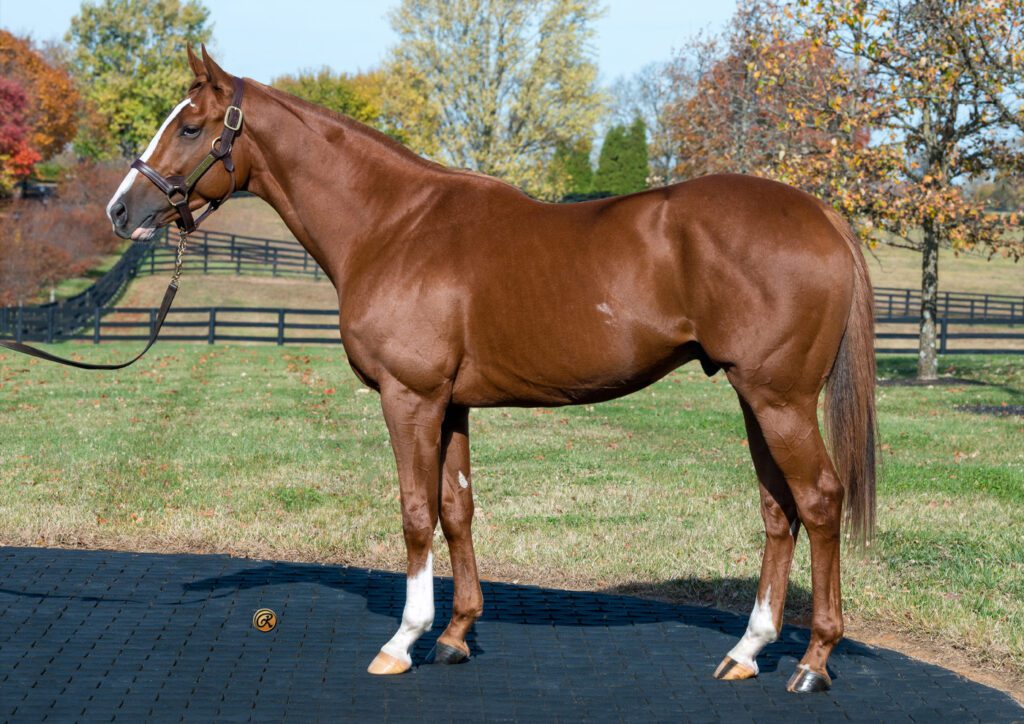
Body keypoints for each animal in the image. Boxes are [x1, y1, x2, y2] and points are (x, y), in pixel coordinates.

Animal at [106, 47, 877, 694]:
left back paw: (812, 662)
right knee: (778, 511)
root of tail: (822, 214)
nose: (121, 210)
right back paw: (747, 651)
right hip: (755, 397)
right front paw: (455, 635)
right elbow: (457, 509)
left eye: (190, 127)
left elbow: (416, 513)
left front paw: (404, 641)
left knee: (818, 502)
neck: (394, 225)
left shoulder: (409, 398)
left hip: (779, 399)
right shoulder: (450, 404)